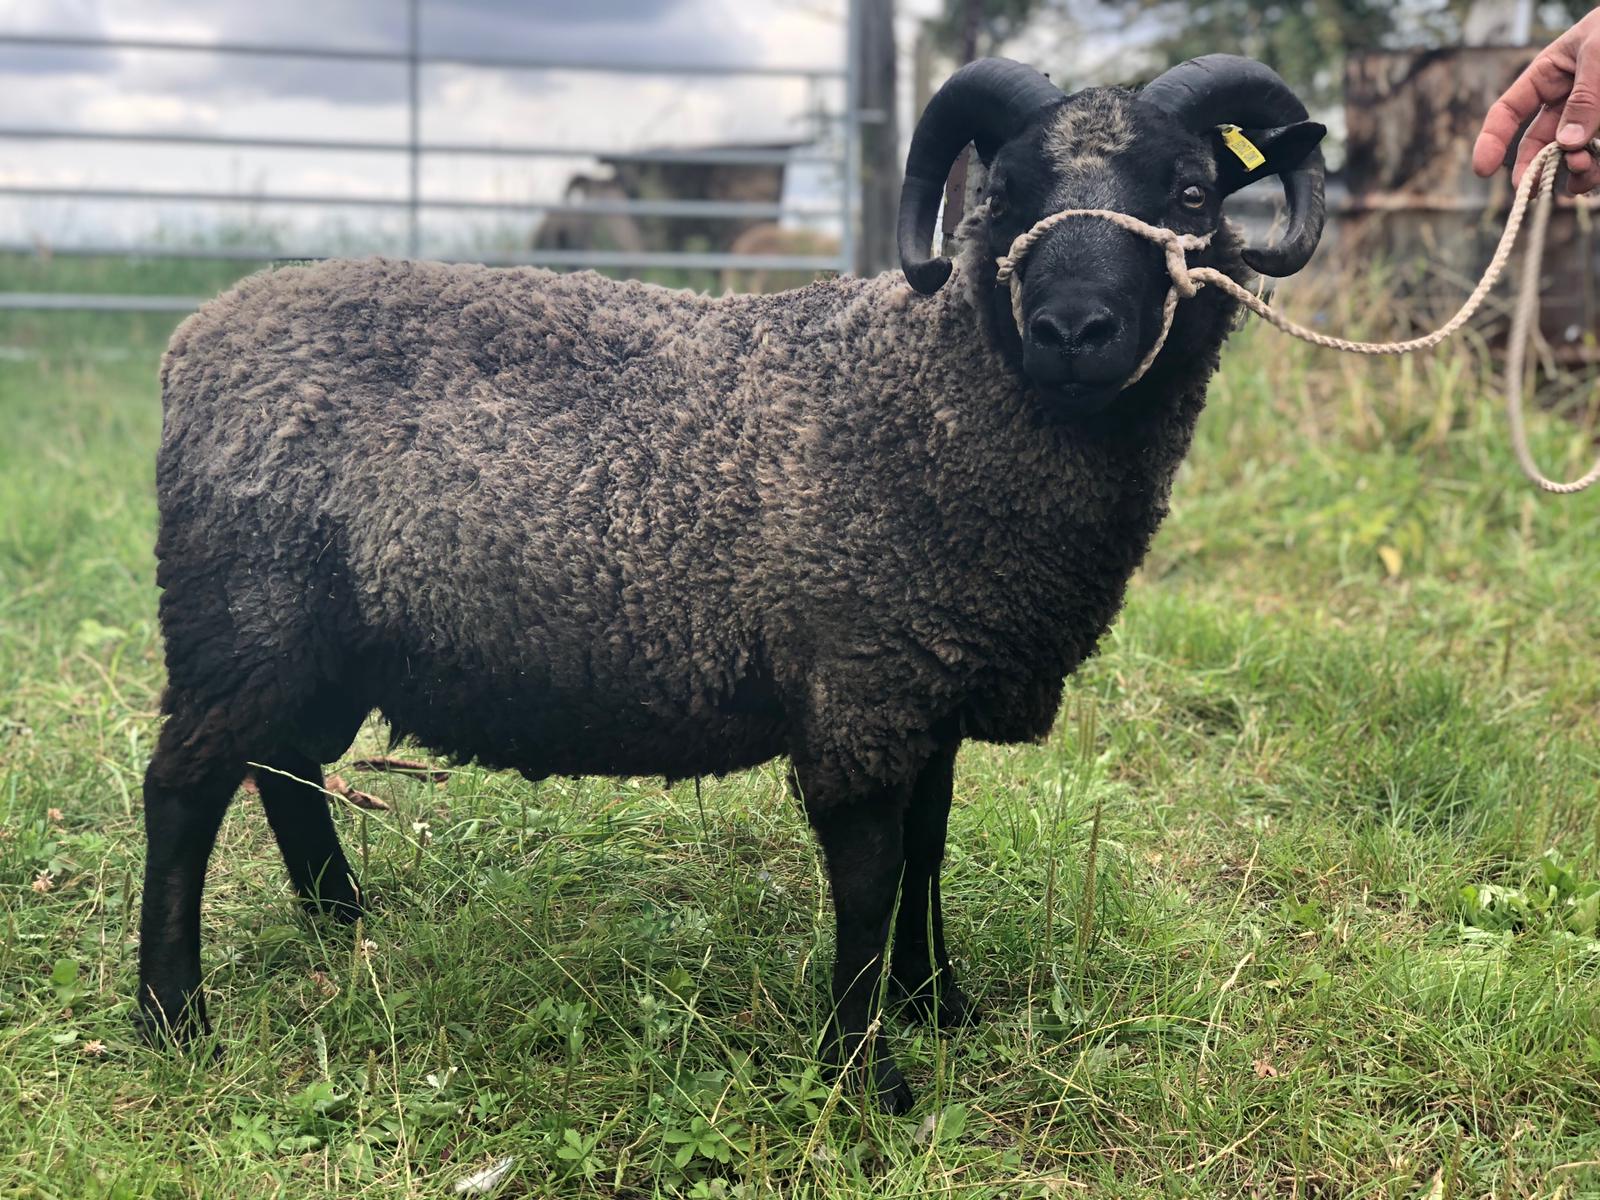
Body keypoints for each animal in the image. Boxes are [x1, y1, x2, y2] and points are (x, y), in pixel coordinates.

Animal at [137, 55, 1326, 1112]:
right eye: (1002, 196)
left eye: (1189, 193)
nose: (1072, 331)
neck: (929, 395)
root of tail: (201, 332)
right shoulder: (857, 686)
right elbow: (869, 876)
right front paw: (866, 1077)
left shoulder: (927, 681)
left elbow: (928, 851)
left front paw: (939, 1005)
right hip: (240, 610)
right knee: (185, 788)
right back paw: (172, 1020)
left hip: (313, 639)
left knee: (282, 765)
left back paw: (342, 920)